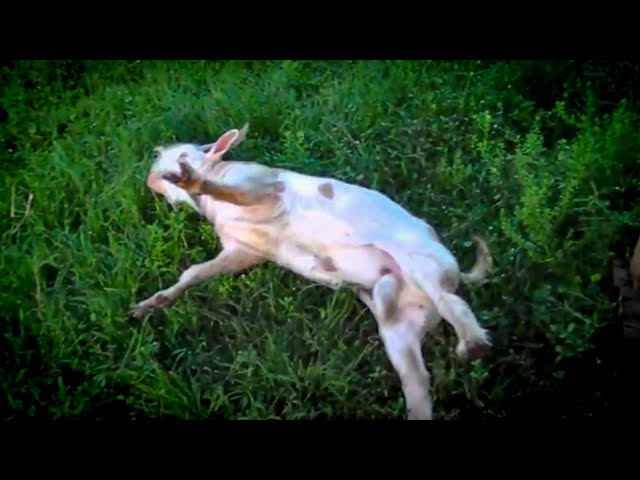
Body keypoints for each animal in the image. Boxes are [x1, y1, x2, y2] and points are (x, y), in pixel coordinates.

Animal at [131, 123, 494, 420]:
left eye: (182, 151)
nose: (154, 154)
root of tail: (457, 271)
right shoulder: (240, 251)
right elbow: (193, 273)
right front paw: (147, 306)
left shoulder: (262, 190)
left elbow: (224, 189)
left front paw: (190, 178)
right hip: (398, 327)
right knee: (417, 385)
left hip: (420, 263)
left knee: (451, 302)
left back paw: (473, 343)